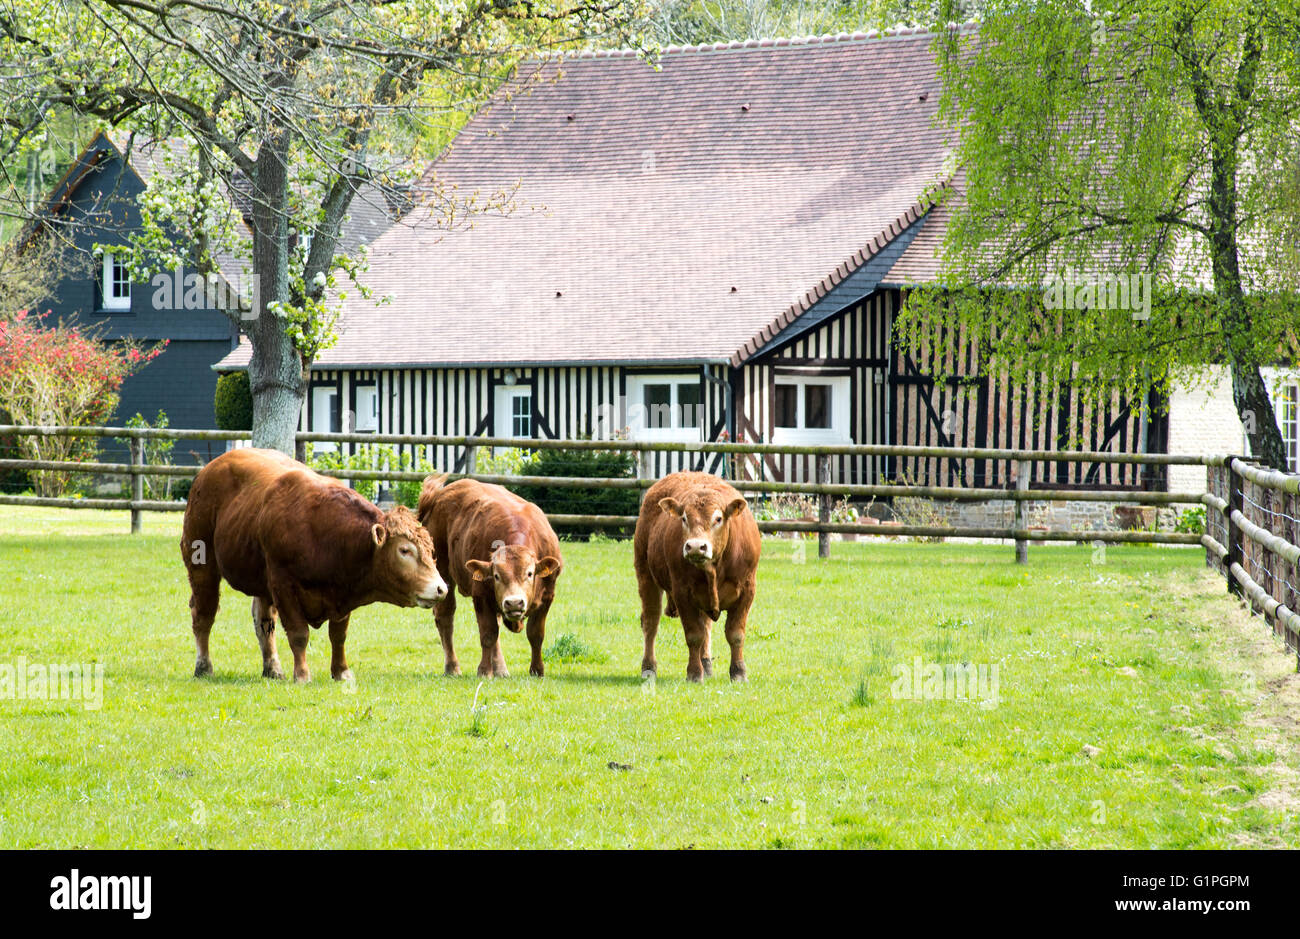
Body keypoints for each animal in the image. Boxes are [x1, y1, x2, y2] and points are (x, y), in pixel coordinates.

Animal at [181, 448, 448, 683]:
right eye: (405, 550)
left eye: (431, 550)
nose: (441, 588)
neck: (328, 534)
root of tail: (208, 471)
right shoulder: (283, 586)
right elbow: (299, 634)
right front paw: (302, 674)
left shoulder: (343, 592)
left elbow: (338, 636)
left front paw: (341, 671)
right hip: (202, 565)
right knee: (203, 615)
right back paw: (203, 666)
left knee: (263, 622)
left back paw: (272, 668)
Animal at [417, 475, 562, 678]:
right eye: (496, 576)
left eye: (530, 573)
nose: (514, 603)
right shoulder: (481, 596)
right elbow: (488, 634)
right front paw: (484, 670)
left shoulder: (547, 596)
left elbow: (535, 634)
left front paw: (537, 670)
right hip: (442, 571)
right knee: (446, 617)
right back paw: (452, 666)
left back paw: (500, 668)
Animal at [633, 471, 761, 682]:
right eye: (684, 518)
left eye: (718, 518)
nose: (694, 546)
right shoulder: (682, 592)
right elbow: (694, 635)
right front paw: (694, 673)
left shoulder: (747, 590)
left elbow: (735, 634)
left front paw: (738, 672)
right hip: (645, 575)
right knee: (651, 622)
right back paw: (649, 667)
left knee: (706, 625)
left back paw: (706, 664)